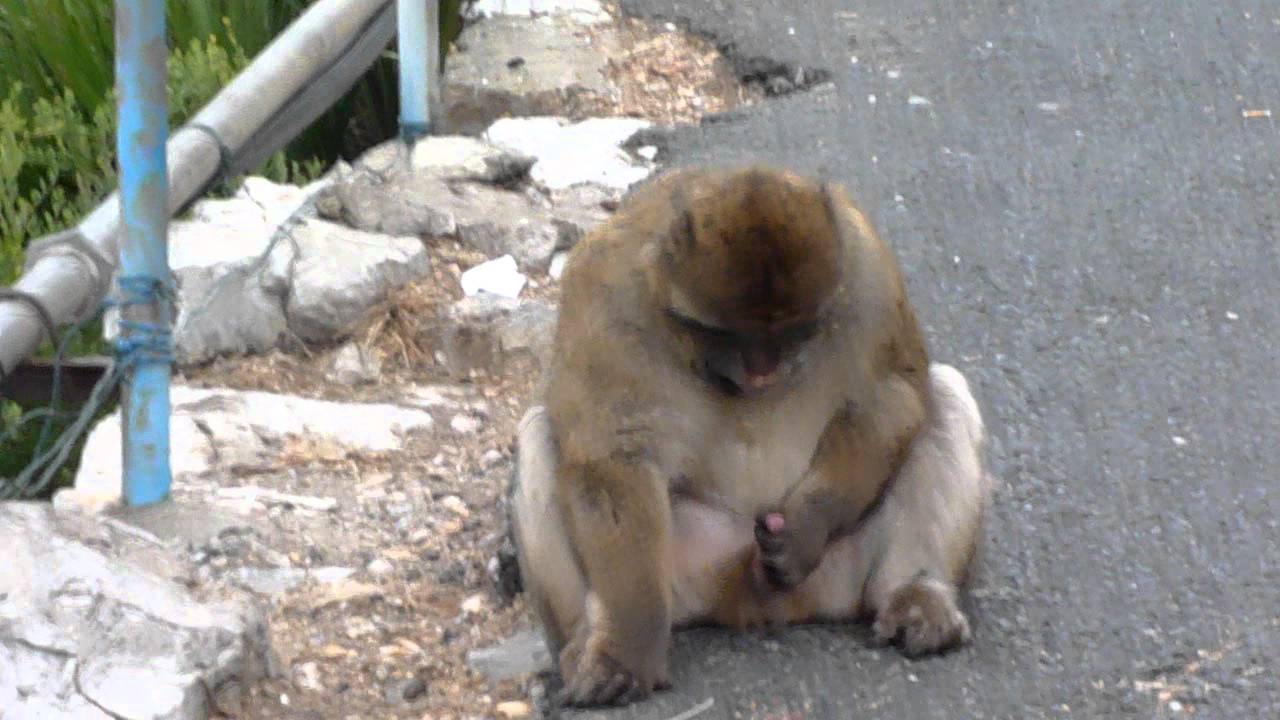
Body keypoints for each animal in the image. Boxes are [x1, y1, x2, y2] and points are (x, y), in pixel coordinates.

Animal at [507, 165, 992, 707]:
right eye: (727, 334)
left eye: (794, 330)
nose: (762, 371)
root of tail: (757, 604)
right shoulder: (609, 301)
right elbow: (612, 455)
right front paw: (626, 650)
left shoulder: (867, 272)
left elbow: (893, 397)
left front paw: (806, 527)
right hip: (688, 576)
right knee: (538, 437)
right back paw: (584, 639)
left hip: (836, 575)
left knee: (945, 400)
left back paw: (917, 597)